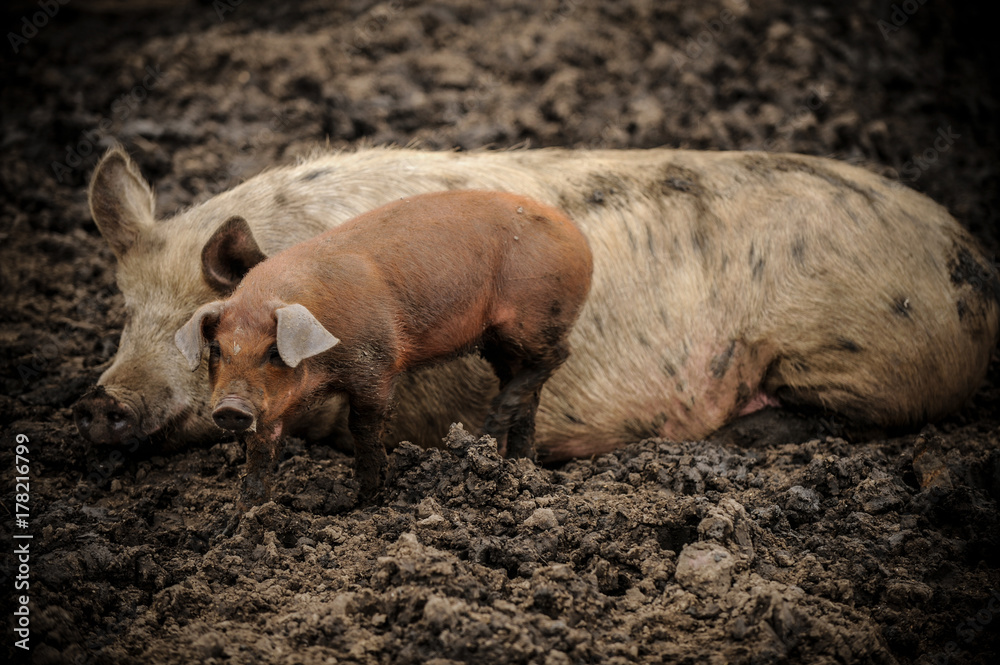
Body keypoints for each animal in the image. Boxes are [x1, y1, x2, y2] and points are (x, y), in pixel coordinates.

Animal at [173, 191, 592, 504]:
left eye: (275, 352)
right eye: (217, 351)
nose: (231, 408)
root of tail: (579, 239)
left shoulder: (376, 365)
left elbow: (363, 426)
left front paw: (366, 498)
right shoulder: (272, 402)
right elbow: (262, 446)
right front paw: (246, 513)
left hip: (533, 318)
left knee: (558, 356)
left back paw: (484, 432)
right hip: (498, 341)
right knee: (525, 388)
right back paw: (518, 458)